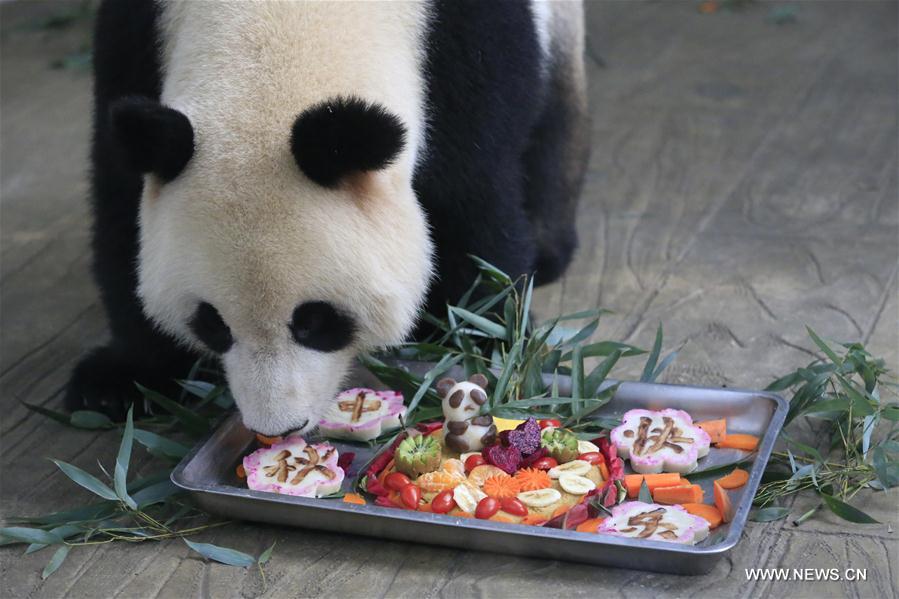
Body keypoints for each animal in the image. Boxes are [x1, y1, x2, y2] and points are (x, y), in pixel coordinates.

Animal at [66, 0, 589, 435]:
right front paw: (120, 381)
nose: (280, 427)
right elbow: (119, 204)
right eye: (212, 323)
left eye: (315, 321)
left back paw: (548, 249)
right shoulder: (137, 35)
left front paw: (482, 337)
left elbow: (472, 194)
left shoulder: (468, 44)